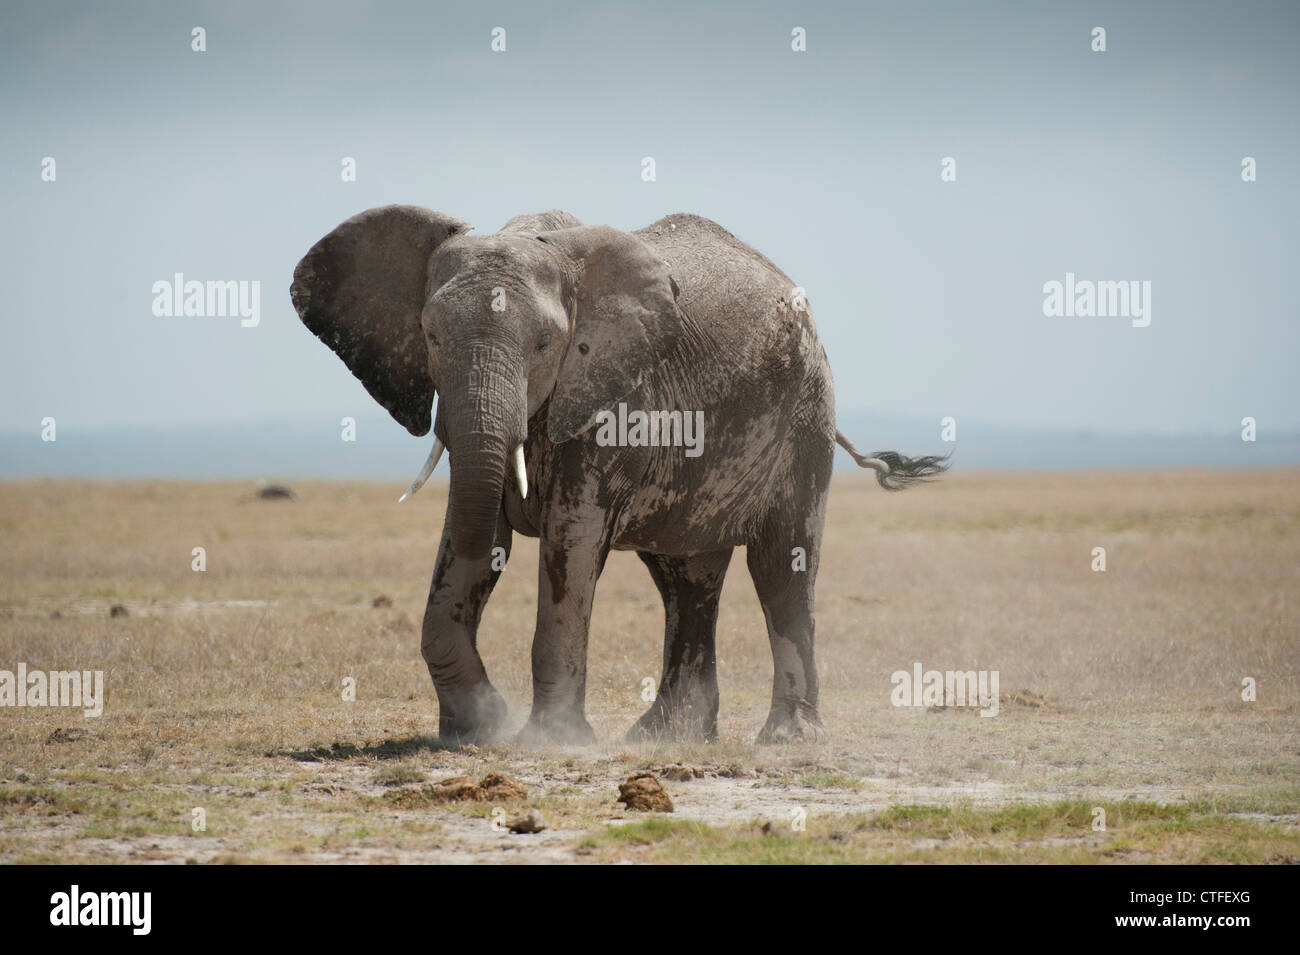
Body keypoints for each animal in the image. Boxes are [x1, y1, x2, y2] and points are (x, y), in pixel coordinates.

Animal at [290, 205, 947, 745]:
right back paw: (666, 737)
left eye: (545, 344)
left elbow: (570, 545)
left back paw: (787, 739)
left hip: (804, 417)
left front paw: (547, 741)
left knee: (782, 567)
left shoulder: (612, 401)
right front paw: (476, 730)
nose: (491, 714)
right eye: (429, 335)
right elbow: (471, 534)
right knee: (686, 578)